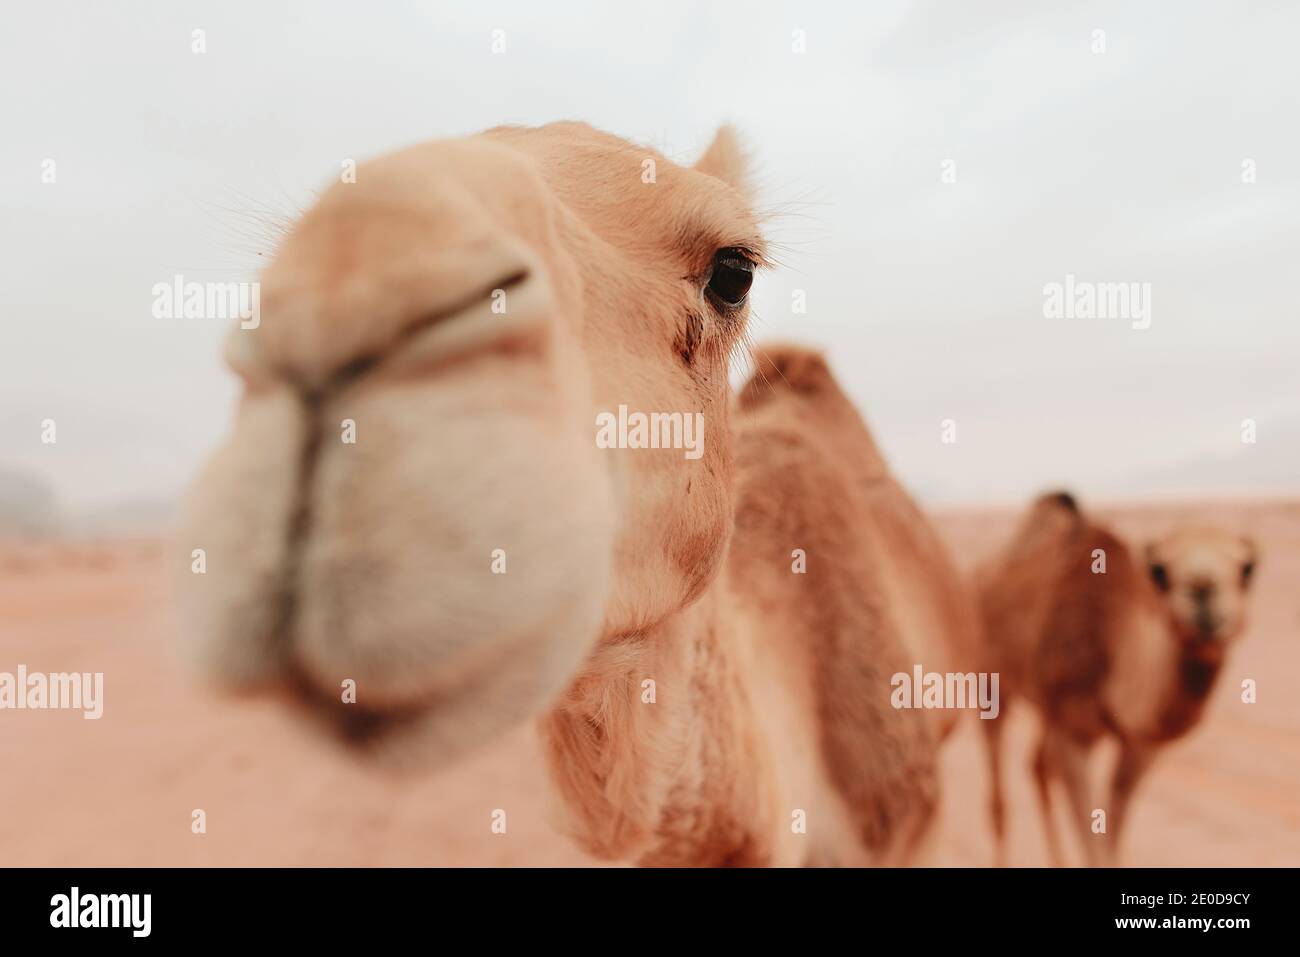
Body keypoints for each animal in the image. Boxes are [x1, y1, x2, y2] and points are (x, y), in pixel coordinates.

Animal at [977, 492, 1258, 867]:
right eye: (1159, 571)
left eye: (1247, 569)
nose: (1203, 589)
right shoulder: (1075, 733)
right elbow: (1093, 844)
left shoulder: (1141, 744)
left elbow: (1111, 835)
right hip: (992, 684)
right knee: (999, 799)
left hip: (1047, 708)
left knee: (1039, 766)